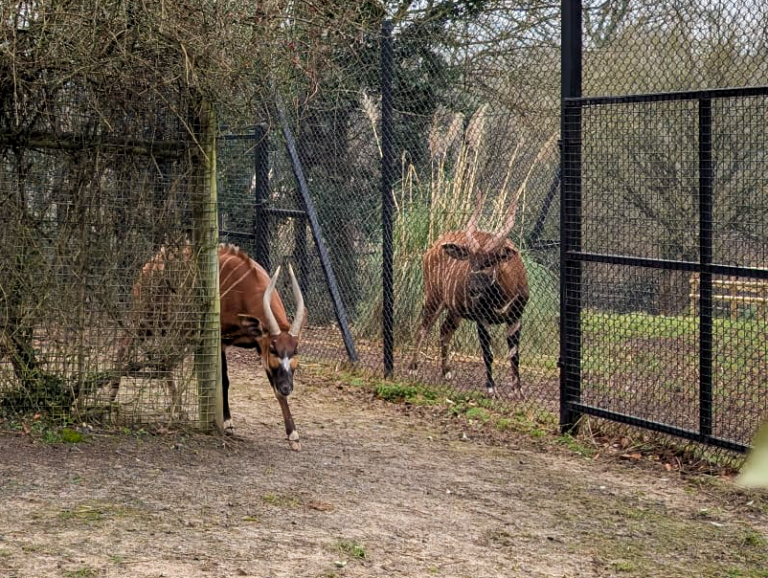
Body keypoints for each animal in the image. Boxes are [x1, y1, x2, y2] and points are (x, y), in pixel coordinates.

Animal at [109, 244, 307, 450]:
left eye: (295, 350)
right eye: (274, 349)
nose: (287, 388)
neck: (244, 287)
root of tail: (150, 264)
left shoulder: (259, 346)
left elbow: (273, 386)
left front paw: (293, 436)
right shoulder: (221, 340)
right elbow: (224, 381)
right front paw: (227, 424)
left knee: (162, 360)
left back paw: (179, 410)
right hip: (146, 319)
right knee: (125, 344)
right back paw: (110, 400)